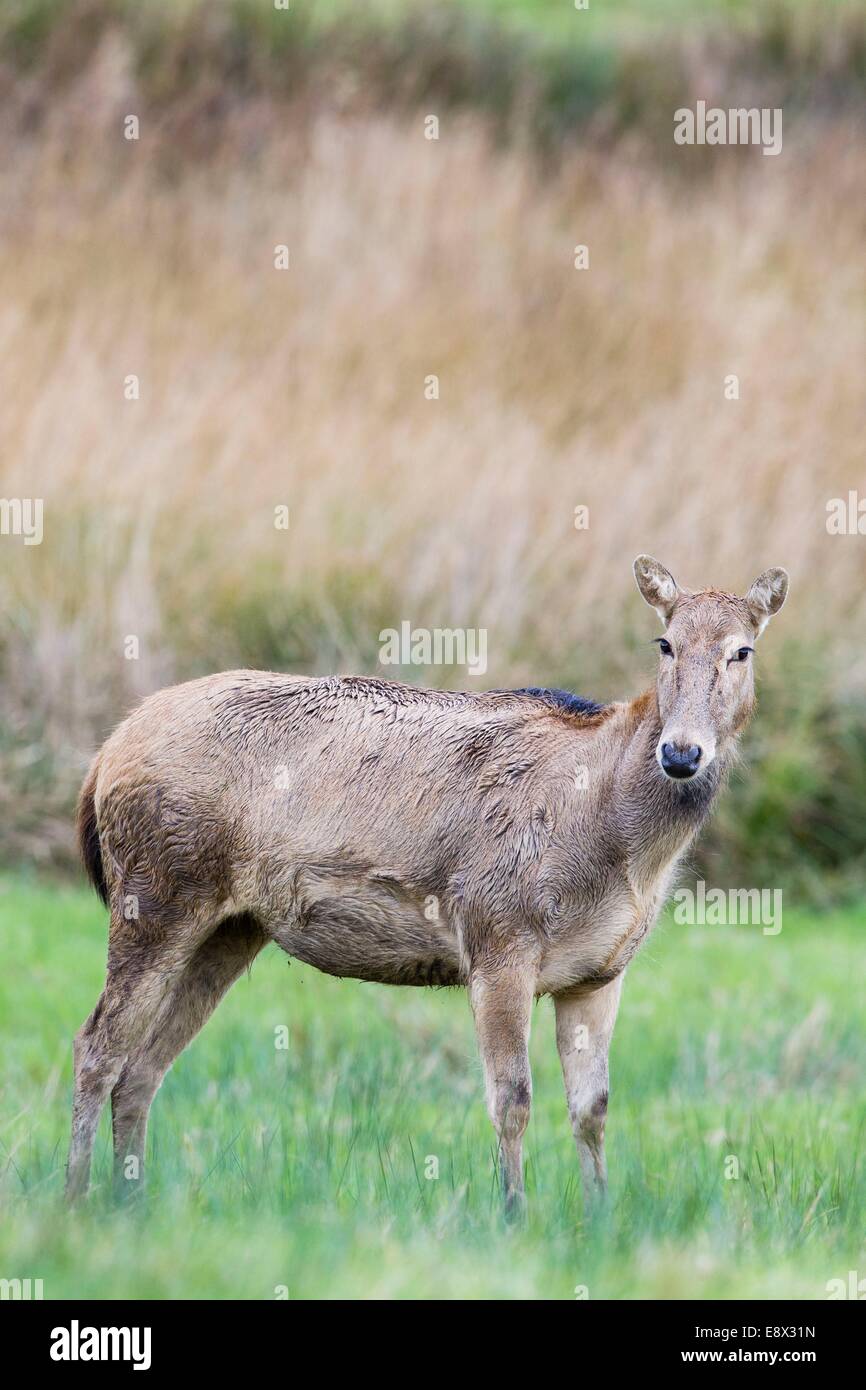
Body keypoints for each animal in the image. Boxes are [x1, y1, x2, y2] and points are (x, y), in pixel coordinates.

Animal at [66, 555, 788, 1212]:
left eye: (742, 650)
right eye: (665, 643)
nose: (681, 752)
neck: (620, 849)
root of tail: (105, 754)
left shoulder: (600, 973)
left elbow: (593, 1107)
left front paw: (601, 1217)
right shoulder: (498, 937)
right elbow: (511, 1099)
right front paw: (513, 1215)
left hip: (232, 926)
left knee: (143, 1067)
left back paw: (130, 1198)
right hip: (155, 891)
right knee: (96, 1046)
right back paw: (76, 1198)